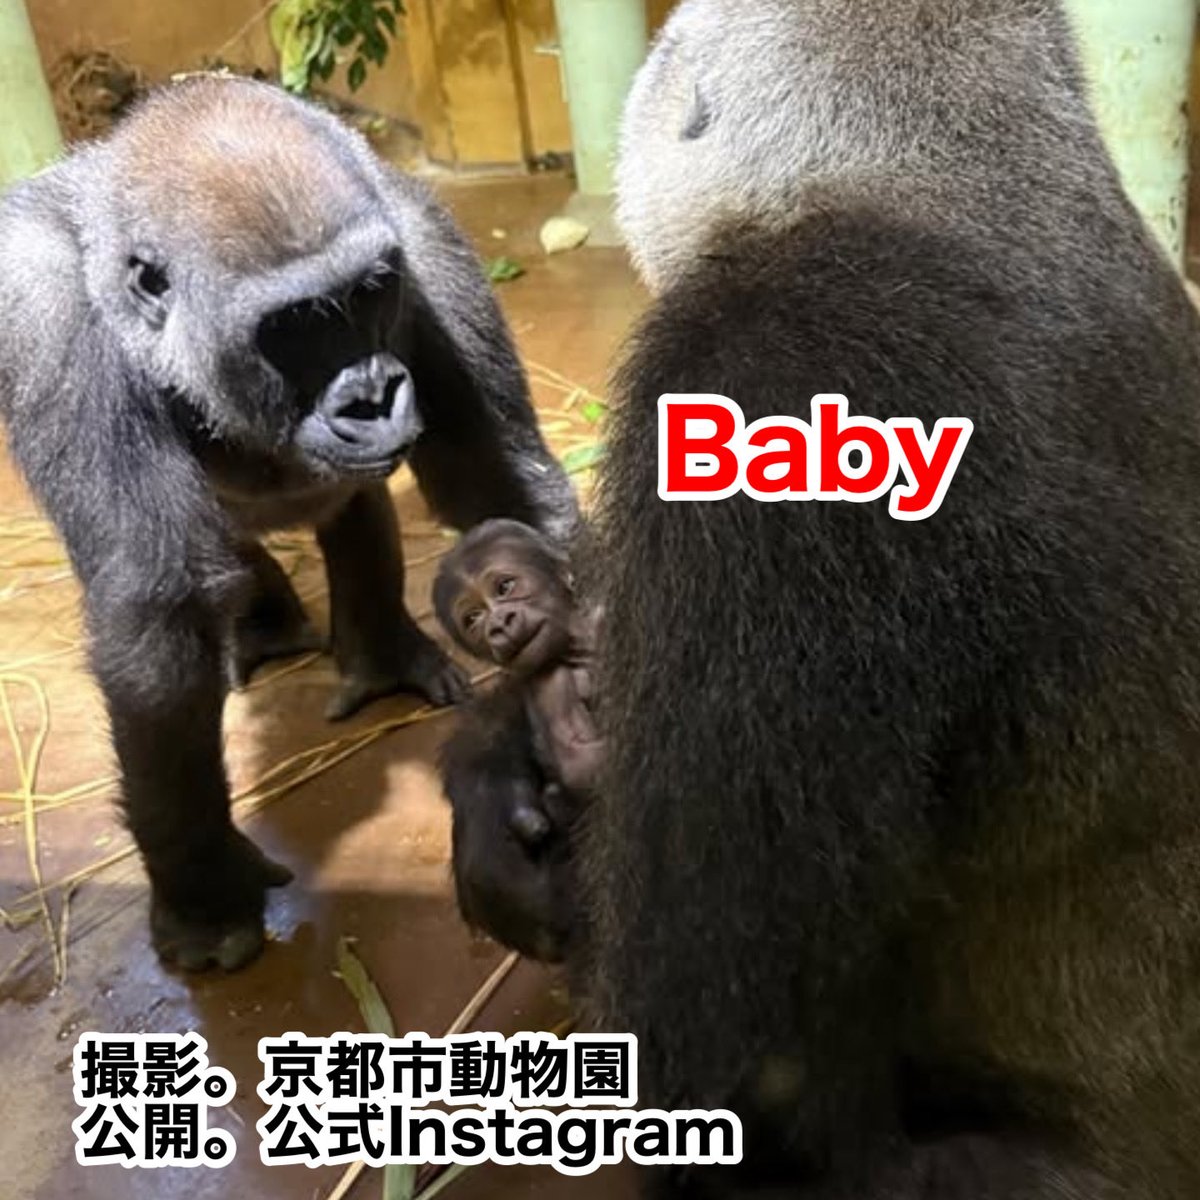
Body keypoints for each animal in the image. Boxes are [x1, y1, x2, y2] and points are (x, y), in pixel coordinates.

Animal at [0, 76, 578, 973]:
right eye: (295, 325)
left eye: (370, 294)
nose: (373, 397)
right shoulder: (41, 315)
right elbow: (160, 613)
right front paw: (202, 886)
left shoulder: (423, 242)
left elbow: (494, 483)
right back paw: (267, 621)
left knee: (352, 507)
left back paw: (377, 655)